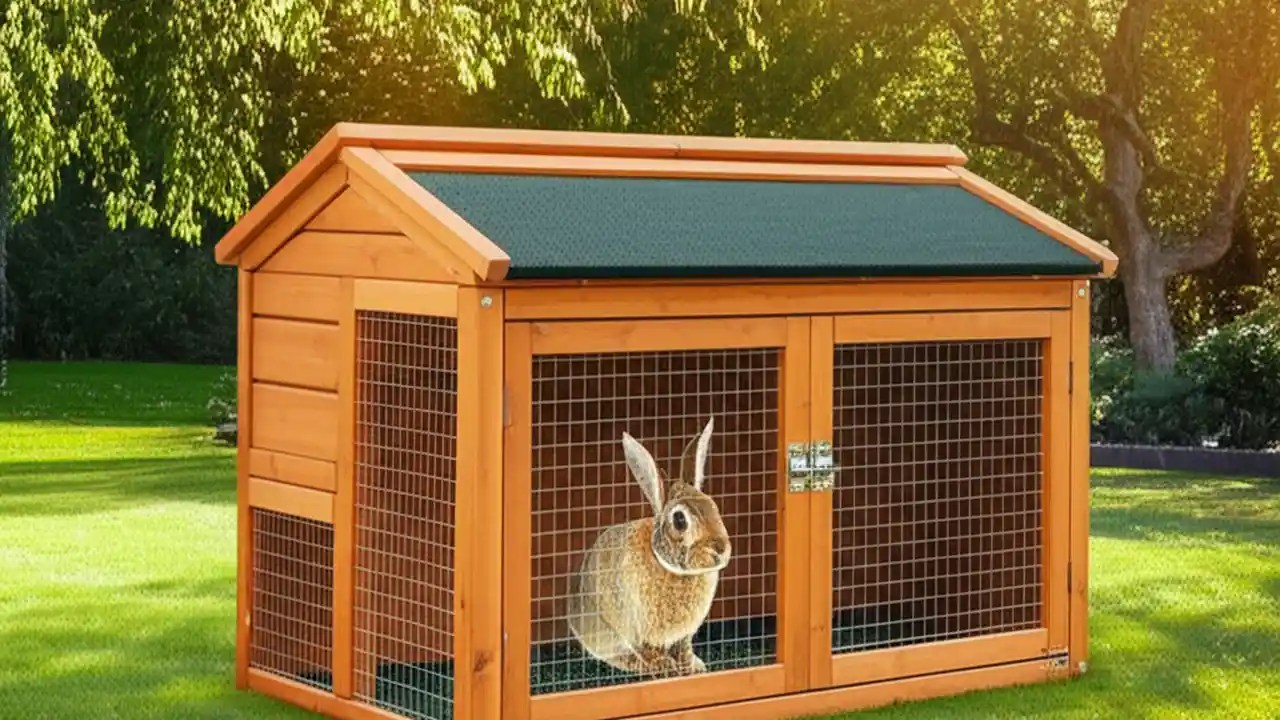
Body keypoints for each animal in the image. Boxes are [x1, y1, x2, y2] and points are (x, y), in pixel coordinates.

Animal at [566, 418, 732, 678]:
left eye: (713, 506)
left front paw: (691, 666)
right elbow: (648, 649)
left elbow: (682, 647)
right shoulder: (639, 626)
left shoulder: (683, 635)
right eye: (680, 520)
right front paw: (664, 666)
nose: (721, 550)